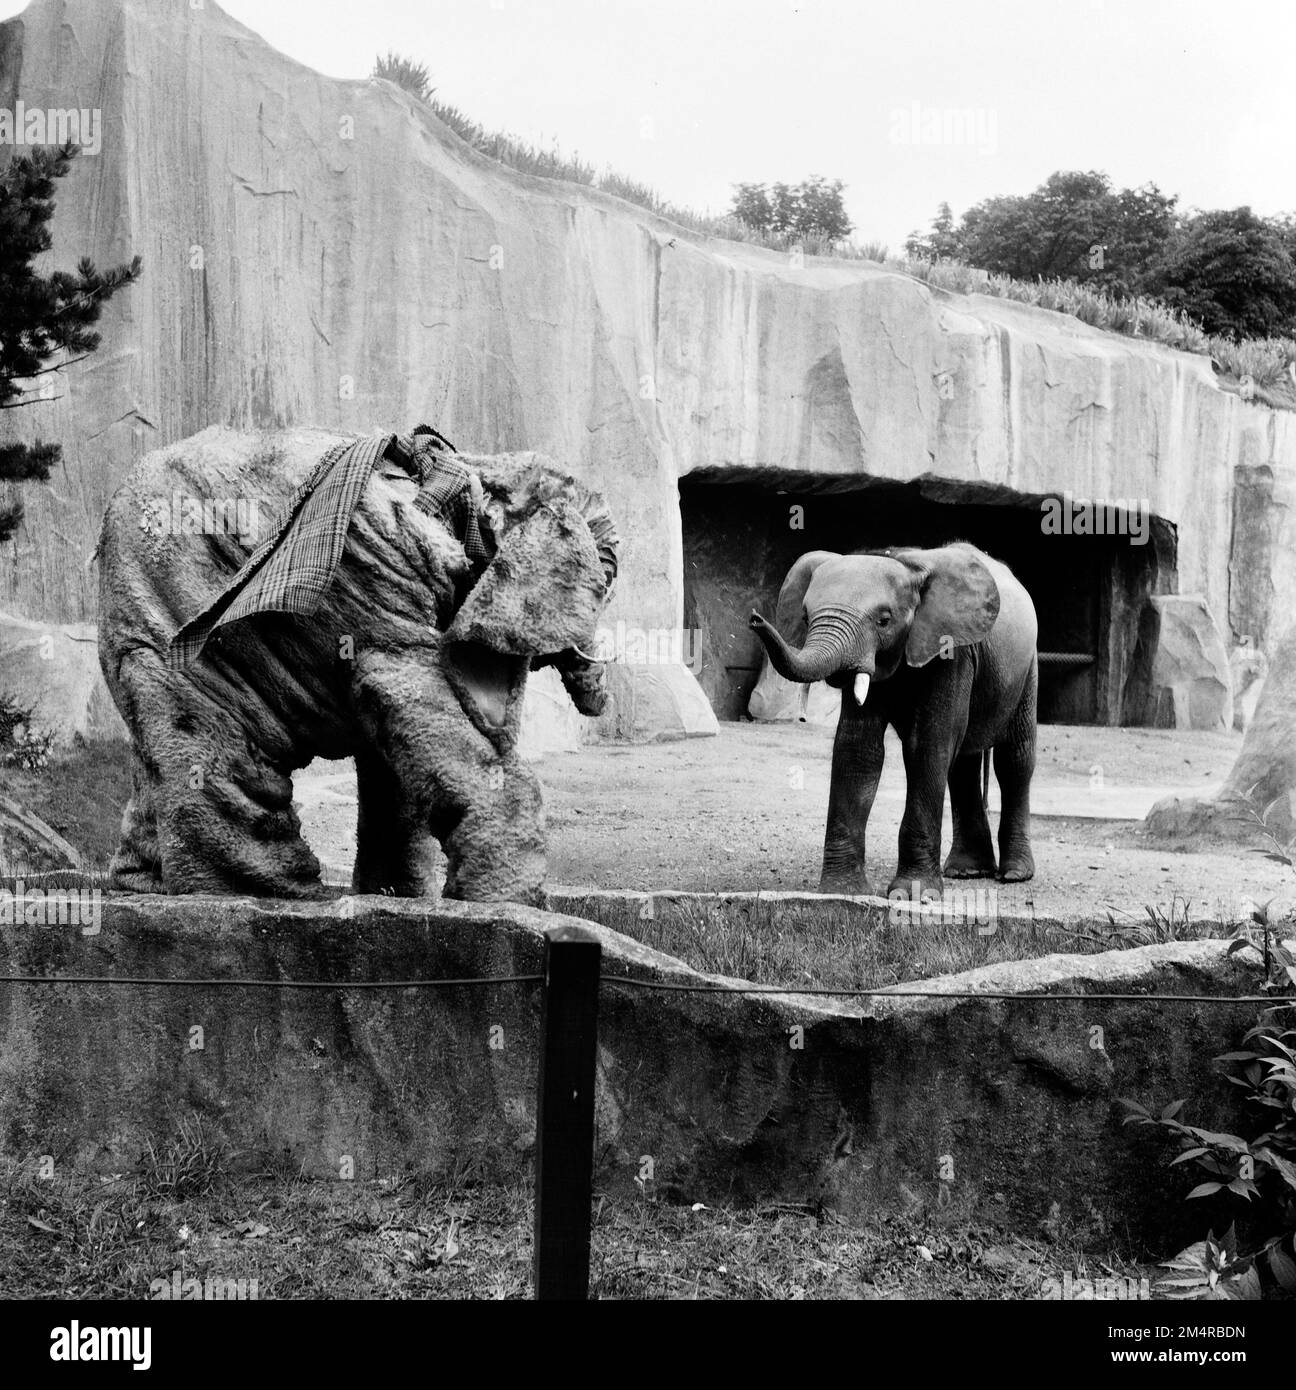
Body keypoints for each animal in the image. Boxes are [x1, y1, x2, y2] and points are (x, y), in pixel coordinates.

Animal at [96, 424, 619, 905]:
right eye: (605, 574)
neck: (467, 466)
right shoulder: (374, 571)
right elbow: (405, 695)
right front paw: (509, 902)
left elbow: (390, 749)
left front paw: (399, 898)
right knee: (213, 736)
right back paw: (260, 894)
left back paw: (147, 886)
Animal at [749, 543, 1038, 901]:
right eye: (805, 617)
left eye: (884, 620)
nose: (754, 618)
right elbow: (858, 747)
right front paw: (842, 891)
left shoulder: (950, 650)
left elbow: (927, 747)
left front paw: (915, 895)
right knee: (963, 764)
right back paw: (967, 871)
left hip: (1027, 668)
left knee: (1014, 759)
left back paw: (1014, 874)